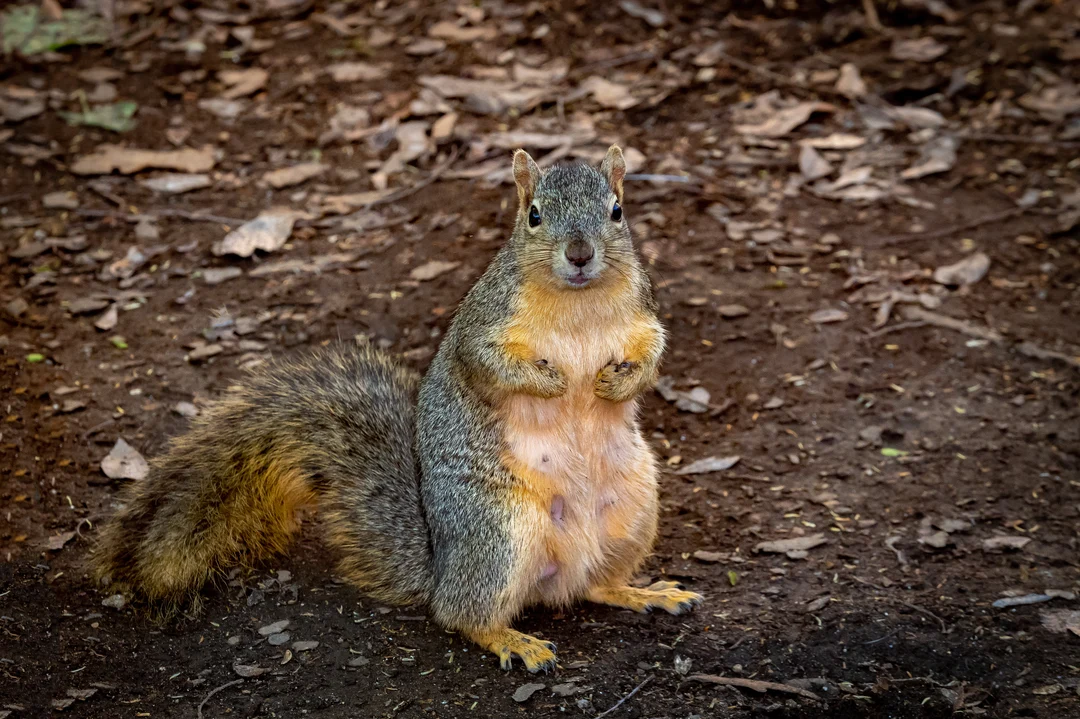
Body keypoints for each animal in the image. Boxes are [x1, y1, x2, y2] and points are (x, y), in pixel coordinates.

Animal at [92, 145, 704, 672]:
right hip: (501, 530)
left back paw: (641, 591)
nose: (579, 255)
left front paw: (617, 384)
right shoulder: (482, 324)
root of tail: (439, 566)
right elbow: (485, 364)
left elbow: (654, 351)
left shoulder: (643, 314)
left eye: (617, 210)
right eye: (533, 216)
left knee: (594, 584)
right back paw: (511, 639)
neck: (578, 300)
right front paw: (550, 383)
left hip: (633, 508)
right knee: (459, 613)